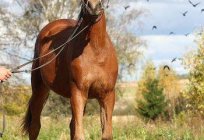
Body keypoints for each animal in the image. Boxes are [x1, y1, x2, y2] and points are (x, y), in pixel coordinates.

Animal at [21, 0, 118, 140]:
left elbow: (107, 134)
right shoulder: (78, 92)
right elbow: (79, 135)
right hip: (40, 90)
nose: (93, 7)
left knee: (71, 125)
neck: (96, 50)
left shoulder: (108, 95)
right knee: (35, 127)